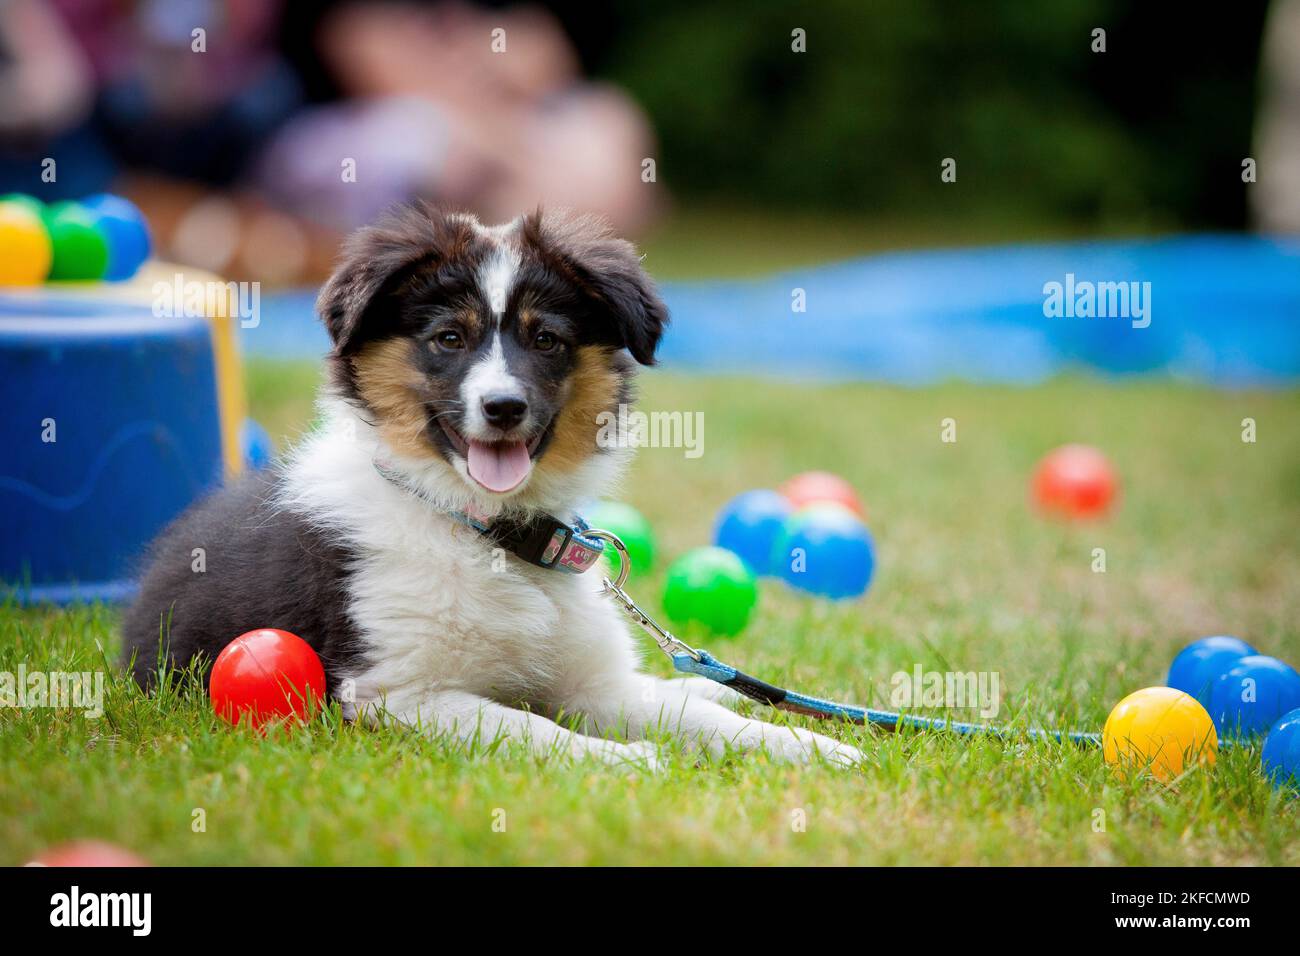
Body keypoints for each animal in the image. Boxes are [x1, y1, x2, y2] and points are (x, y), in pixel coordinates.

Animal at [119, 204, 863, 770]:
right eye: (449, 338)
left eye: (547, 340)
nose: (503, 407)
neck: (486, 530)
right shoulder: (396, 693)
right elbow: (529, 727)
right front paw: (620, 760)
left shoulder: (590, 684)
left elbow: (696, 722)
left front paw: (813, 747)